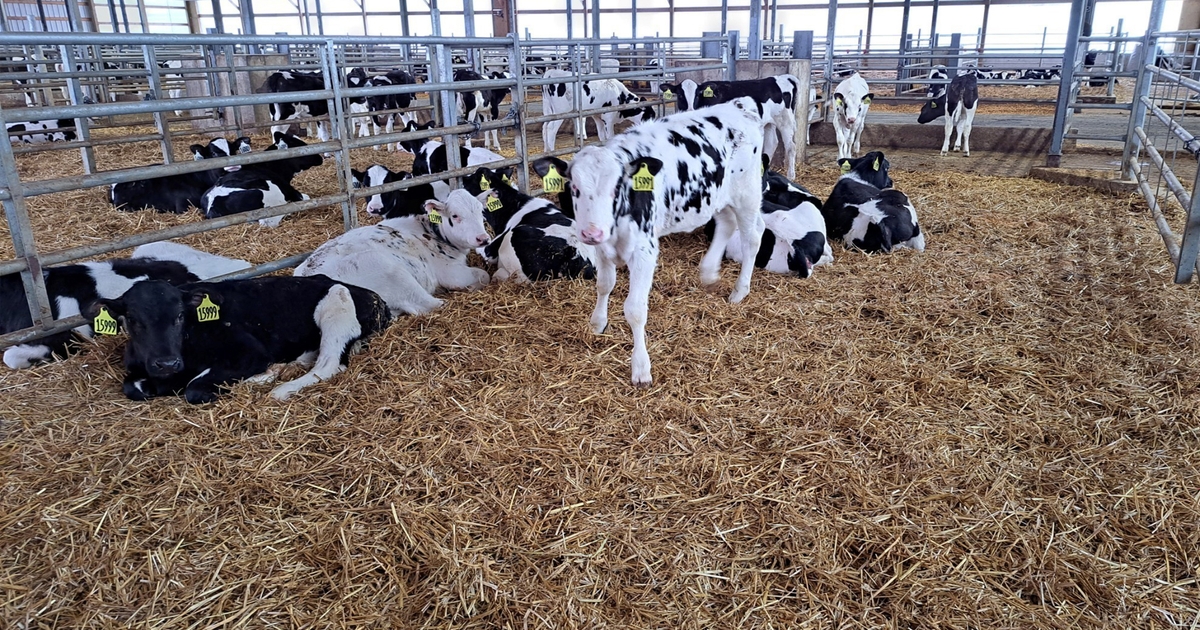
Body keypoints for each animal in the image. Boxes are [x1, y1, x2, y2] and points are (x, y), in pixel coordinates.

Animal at [86, 275, 390, 403]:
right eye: (132, 319)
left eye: (180, 315)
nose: (167, 363)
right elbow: (132, 387)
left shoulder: (249, 353)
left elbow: (194, 388)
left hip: (336, 304)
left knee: (329, 364)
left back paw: (279, 389)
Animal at [294, 189, 491, 317]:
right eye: (455, 216)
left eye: (481, 211)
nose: (483, 238)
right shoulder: (451, 273)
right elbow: (484, 275)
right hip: (394, 274)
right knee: (429, 304)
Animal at [550, 97, 766, 386]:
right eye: (574, 188)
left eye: (616, 188)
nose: (592, 233)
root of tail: (739, 105)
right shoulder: (603, 250)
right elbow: (604, 285)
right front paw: (597, 323)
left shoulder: (645, 251)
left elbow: (635, 310)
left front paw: (641, 368)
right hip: (717, 196)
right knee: (727, 224)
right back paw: (708, 273)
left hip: (747, 194)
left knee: (752, 237)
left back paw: (739, 291)